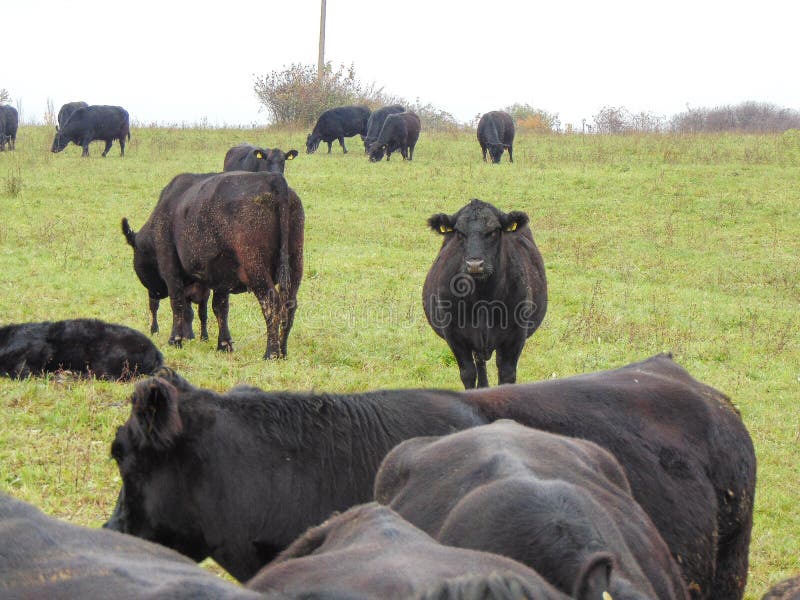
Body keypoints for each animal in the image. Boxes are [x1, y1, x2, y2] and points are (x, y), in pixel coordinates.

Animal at [129, 170, 304, 359]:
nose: (154, 294)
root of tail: (272, 177)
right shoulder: (222, 276)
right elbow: (220, 308)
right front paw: (224, 344)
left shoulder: (170, 266)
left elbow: (177, 303)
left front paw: (175, 340)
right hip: (295, 263)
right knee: (289, 305)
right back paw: (283, 351)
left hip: (255, 267)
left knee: (271, 304)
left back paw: (271, 353)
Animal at [423, 199, 547, 388]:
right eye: (459, 233)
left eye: (494, 231)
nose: (475, 265)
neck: (482, 298)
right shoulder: (454, 336)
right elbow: (468, 373)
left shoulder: (515, 336)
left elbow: (506, 375)